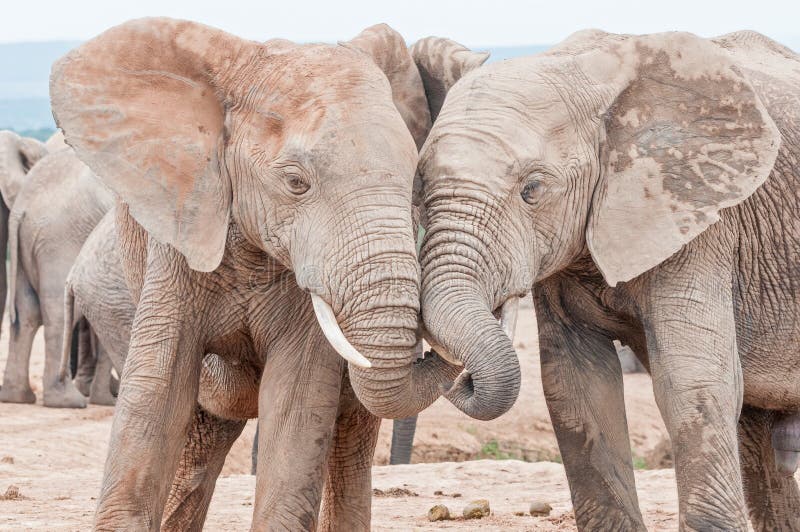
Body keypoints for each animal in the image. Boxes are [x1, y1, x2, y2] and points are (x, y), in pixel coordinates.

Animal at [0, 147, 114, 407]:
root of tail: (22, 206)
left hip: (27, 246)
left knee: (26, 314)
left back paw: (18, 397)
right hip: (59, 242)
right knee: (59, 315)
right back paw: (68, 400)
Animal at [50, 18, 488, 530]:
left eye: (414, 181)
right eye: (296, 183)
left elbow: (296, 407)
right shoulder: (182, 234)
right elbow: (157, 394)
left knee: (349, 437)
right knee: (201, 435)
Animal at [418, 29, 800, 530]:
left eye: (532, 190)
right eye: (419, 186)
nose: (458, 379)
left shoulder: (702, 221)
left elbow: (692, 380)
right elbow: (575, 386)